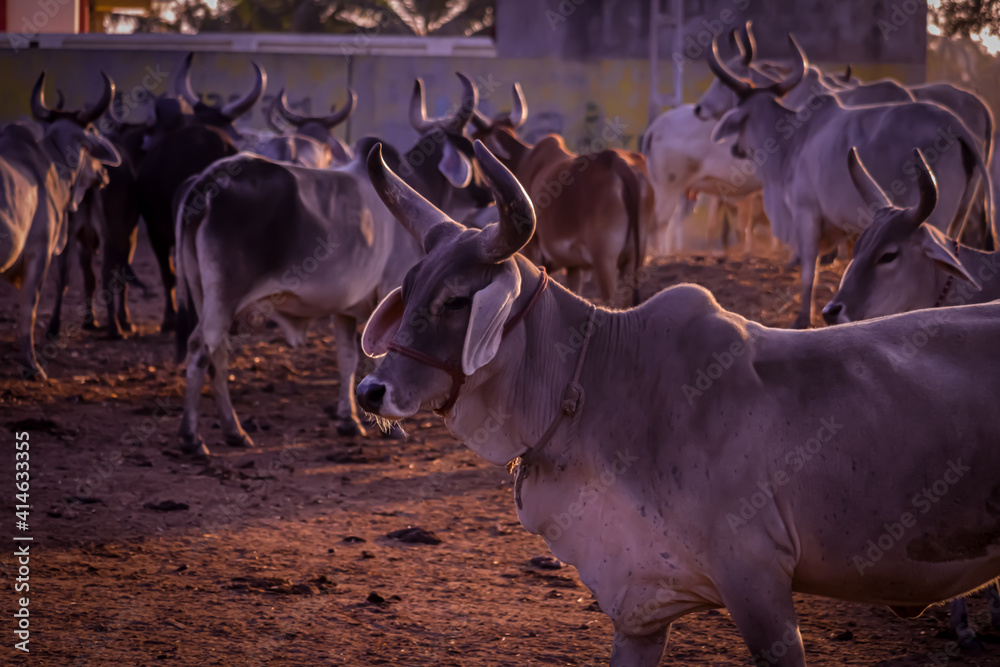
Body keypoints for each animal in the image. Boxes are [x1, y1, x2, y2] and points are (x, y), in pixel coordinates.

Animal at [356, 138, 1000, 667]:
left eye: (457, 300)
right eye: (408, 288)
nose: (370, 390)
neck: (603, 383)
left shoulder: (760, 587)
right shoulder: (638, 607)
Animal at [707, 34, 992, 328]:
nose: (735, 148)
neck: (793, 139)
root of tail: (955, 124)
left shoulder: (805, 212)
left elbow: (809, 269)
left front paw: (802, 319)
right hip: (957, 221)